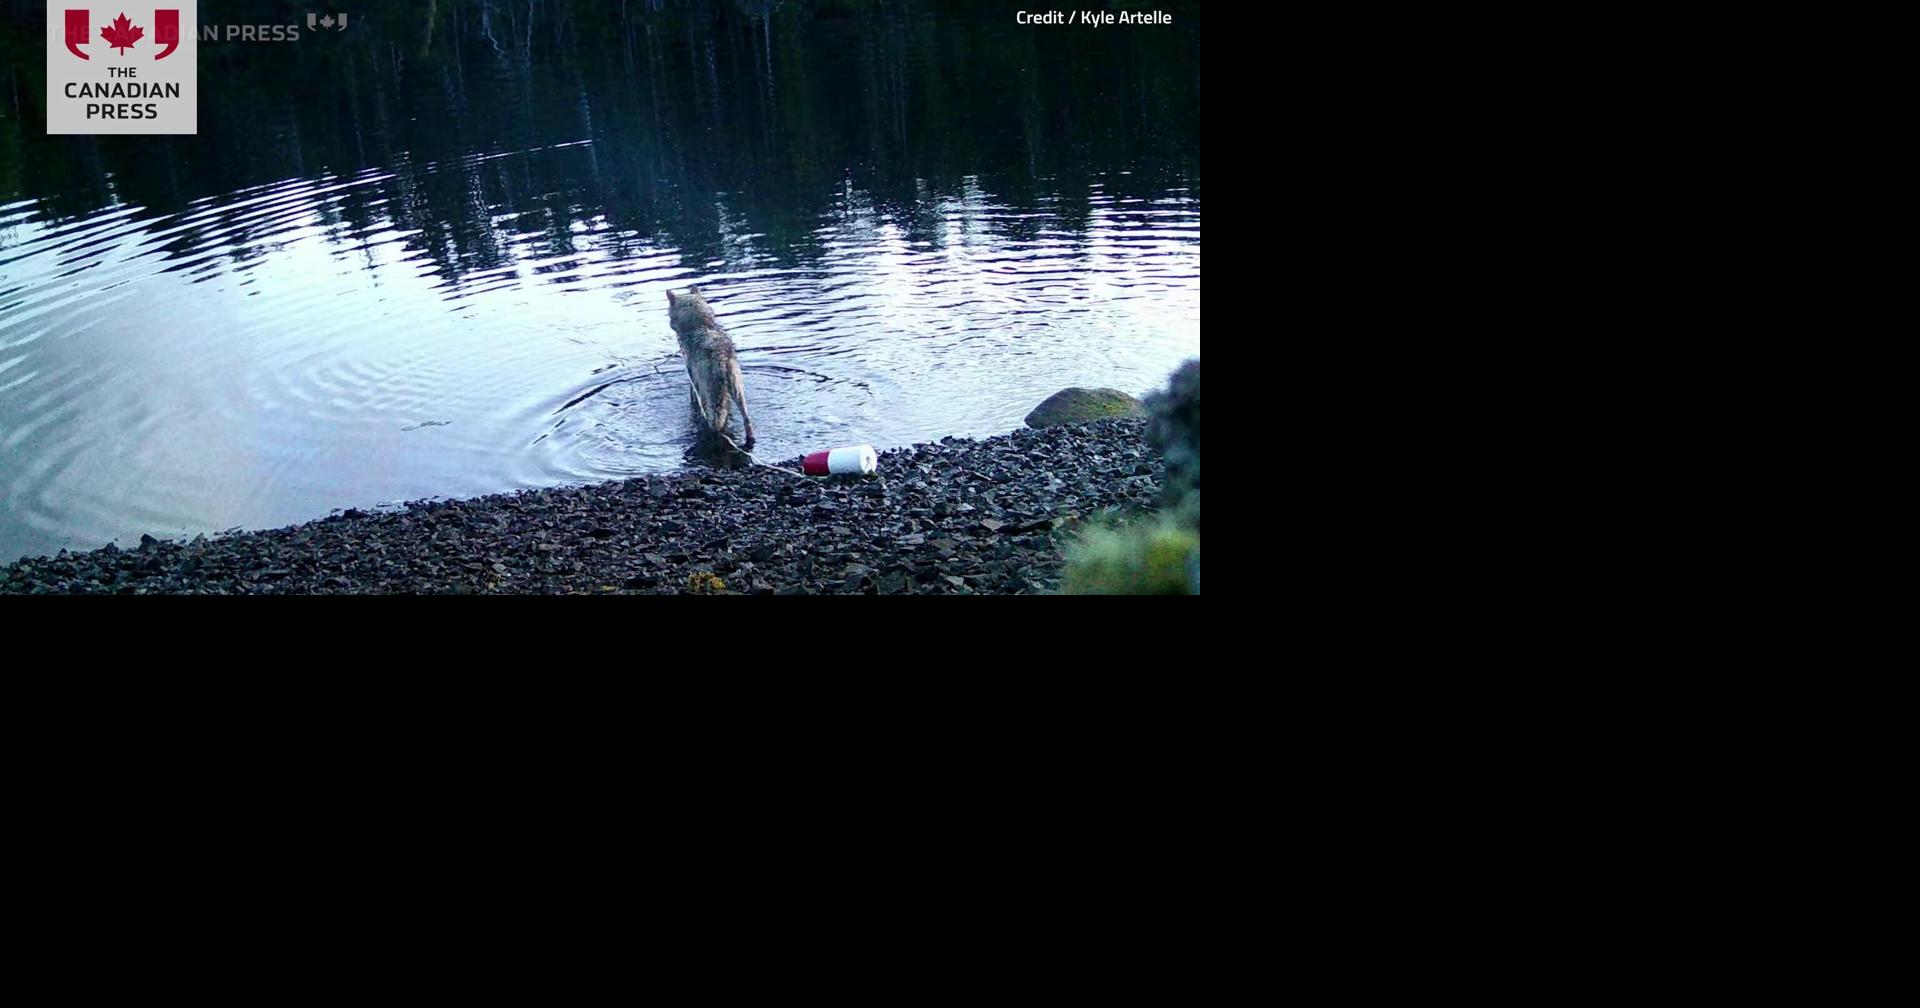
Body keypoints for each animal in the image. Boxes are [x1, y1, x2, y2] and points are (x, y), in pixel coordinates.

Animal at [666, 286, 755, 452]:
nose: (670, 324)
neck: (701, 325)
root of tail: (721, 358)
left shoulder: (693, 381)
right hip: (738, 391)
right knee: (747, 420)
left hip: (711, 396)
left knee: (713, 422)